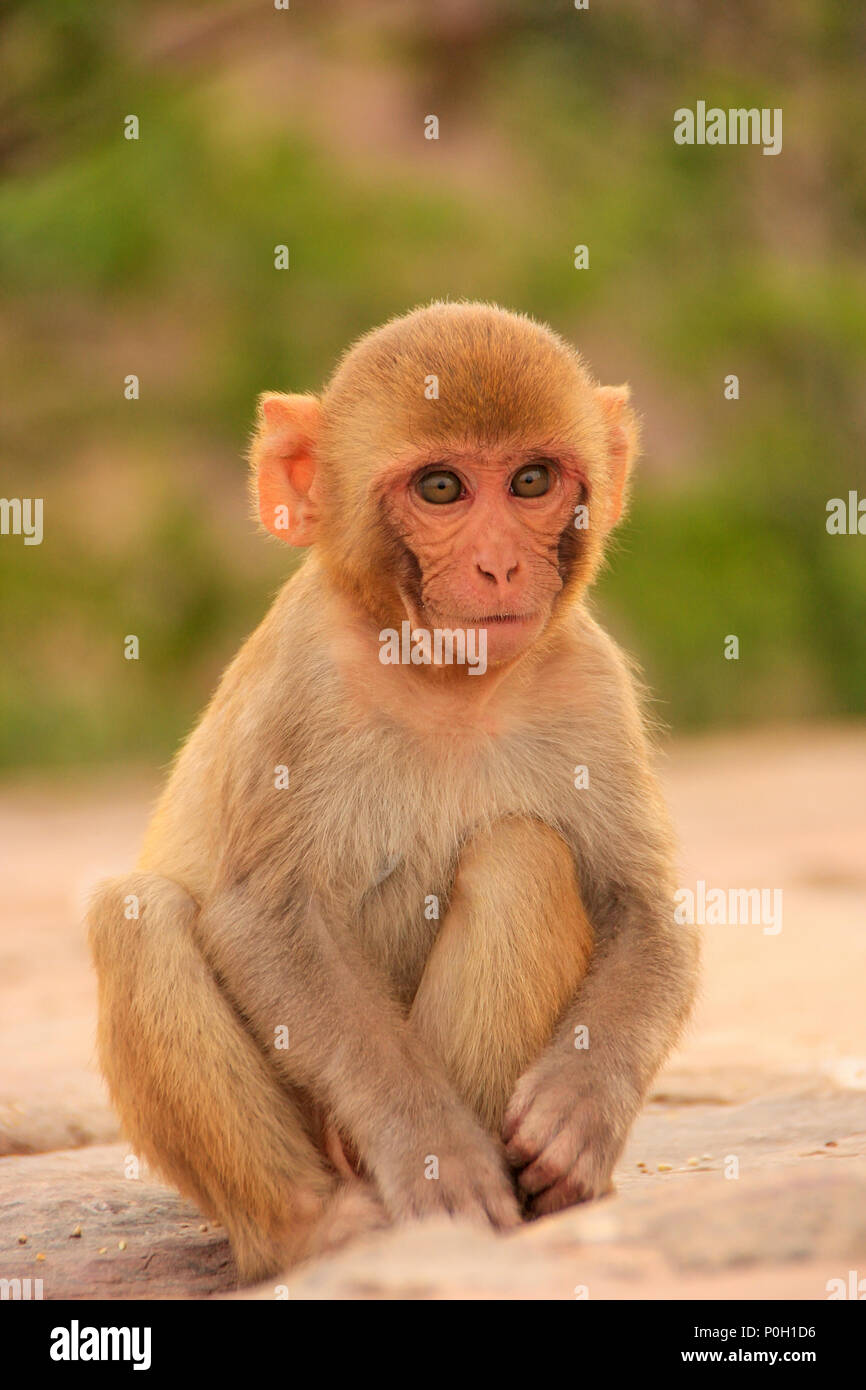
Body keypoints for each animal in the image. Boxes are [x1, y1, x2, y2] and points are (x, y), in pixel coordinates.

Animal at [88, 300, 699, 1284]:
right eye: (442, 489)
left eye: (531, 480)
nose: (498, 566)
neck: (443, 684)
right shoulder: (300, 688)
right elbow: (266, 917)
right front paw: (434, 1154)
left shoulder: (590, 684)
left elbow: (646, 912)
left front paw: (583, 1106)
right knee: (136, 916)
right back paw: (317, 1228)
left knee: (521, 854)